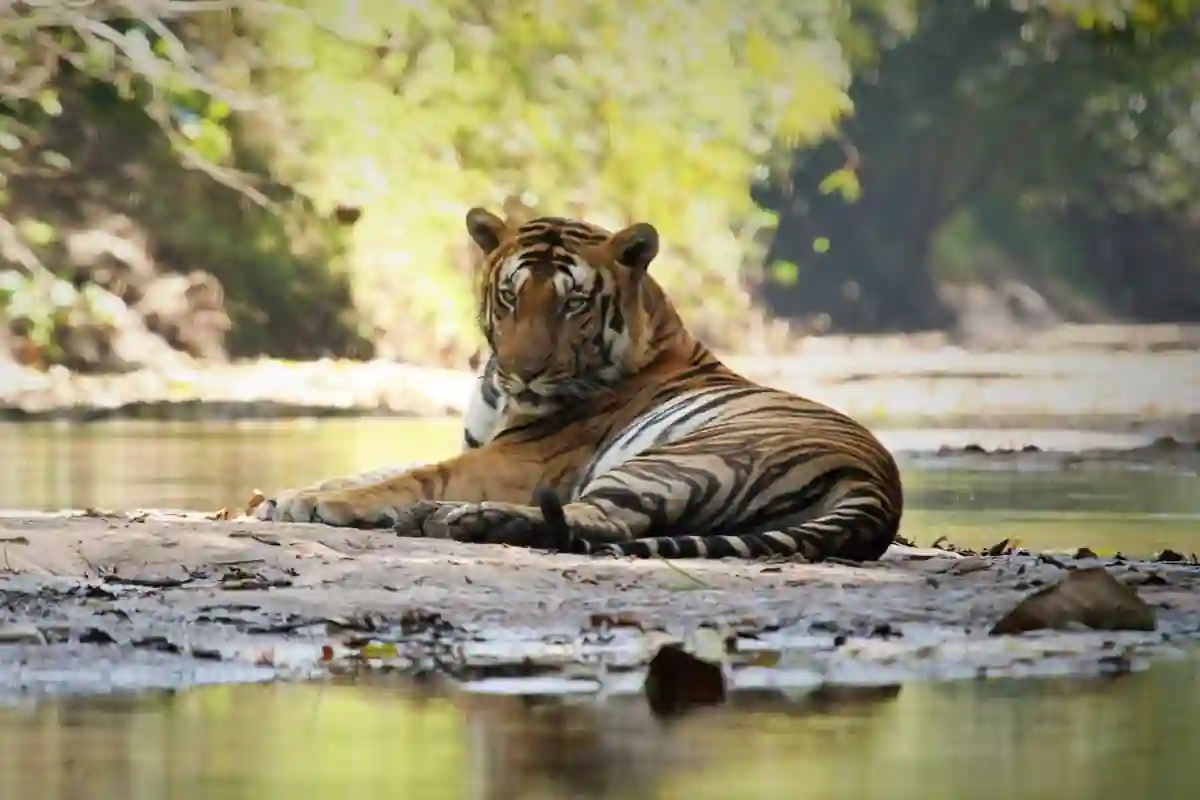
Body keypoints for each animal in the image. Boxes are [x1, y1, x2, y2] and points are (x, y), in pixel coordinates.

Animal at [251, 206, 904, 561]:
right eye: (510, 297)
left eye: (573, 304)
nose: (523, 369)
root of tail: (880, 490)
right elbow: (375, 468)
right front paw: (287, 495)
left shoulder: (514, 461)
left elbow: (407, 476)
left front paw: (324, 503)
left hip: (684, 458)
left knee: (601, 520)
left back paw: (457, 518)